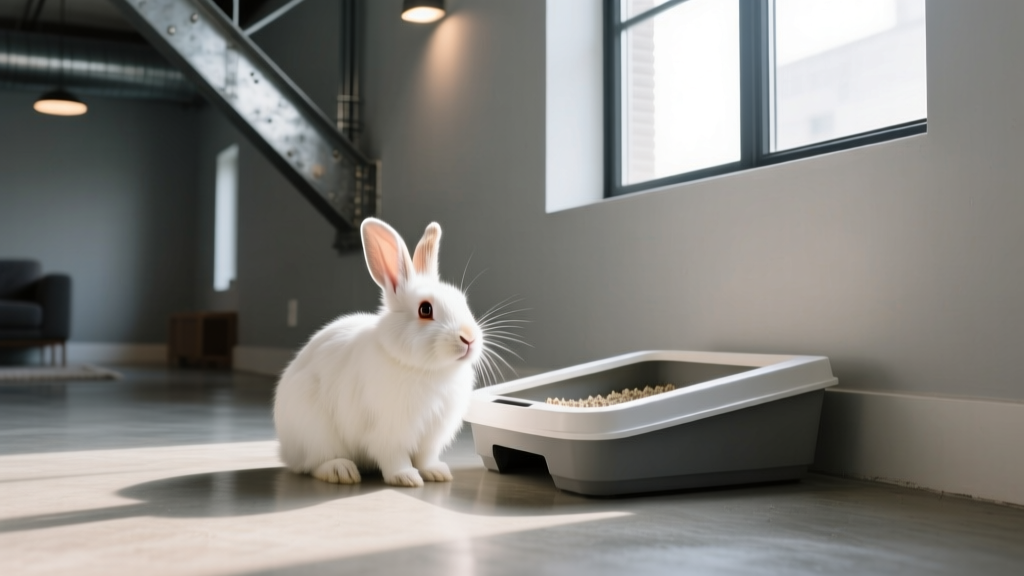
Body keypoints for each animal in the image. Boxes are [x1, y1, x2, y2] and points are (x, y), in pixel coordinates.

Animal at [273, 218, 486, 487]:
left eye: (462, 301)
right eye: (425, 309)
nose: (469, 338)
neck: (427, 369)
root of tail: (286, 450)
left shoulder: (431, 436)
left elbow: (426, 457)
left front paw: (438, 473)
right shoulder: (388, 432)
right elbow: (394, 456)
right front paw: (406, 478)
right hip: (315, 432)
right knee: (314, 463)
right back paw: (342, 471)